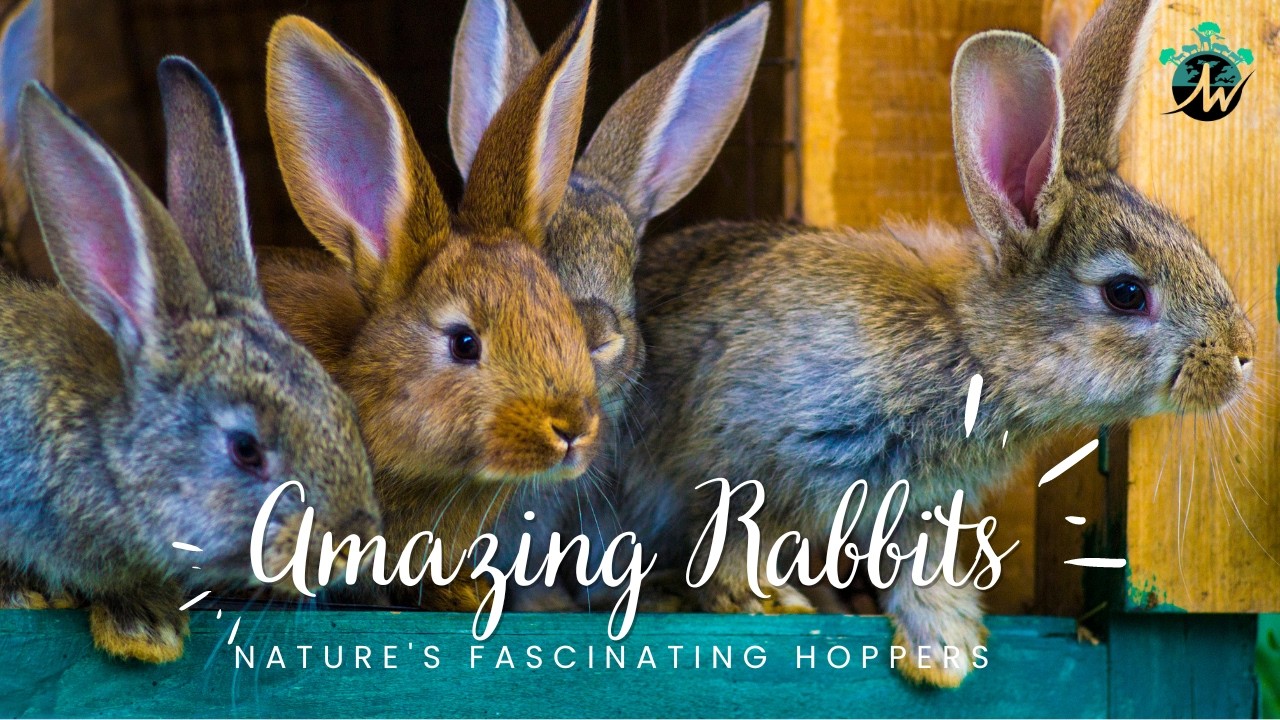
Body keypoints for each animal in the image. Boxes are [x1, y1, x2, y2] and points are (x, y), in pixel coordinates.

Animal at [620, 0, 1255, 687]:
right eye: (1126, 293)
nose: (1242, 355)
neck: (972, 346)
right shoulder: (745, 453)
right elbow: (735, 537)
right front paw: (764, 603)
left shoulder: (915, 506)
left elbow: (916, 558)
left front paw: (944, 647)